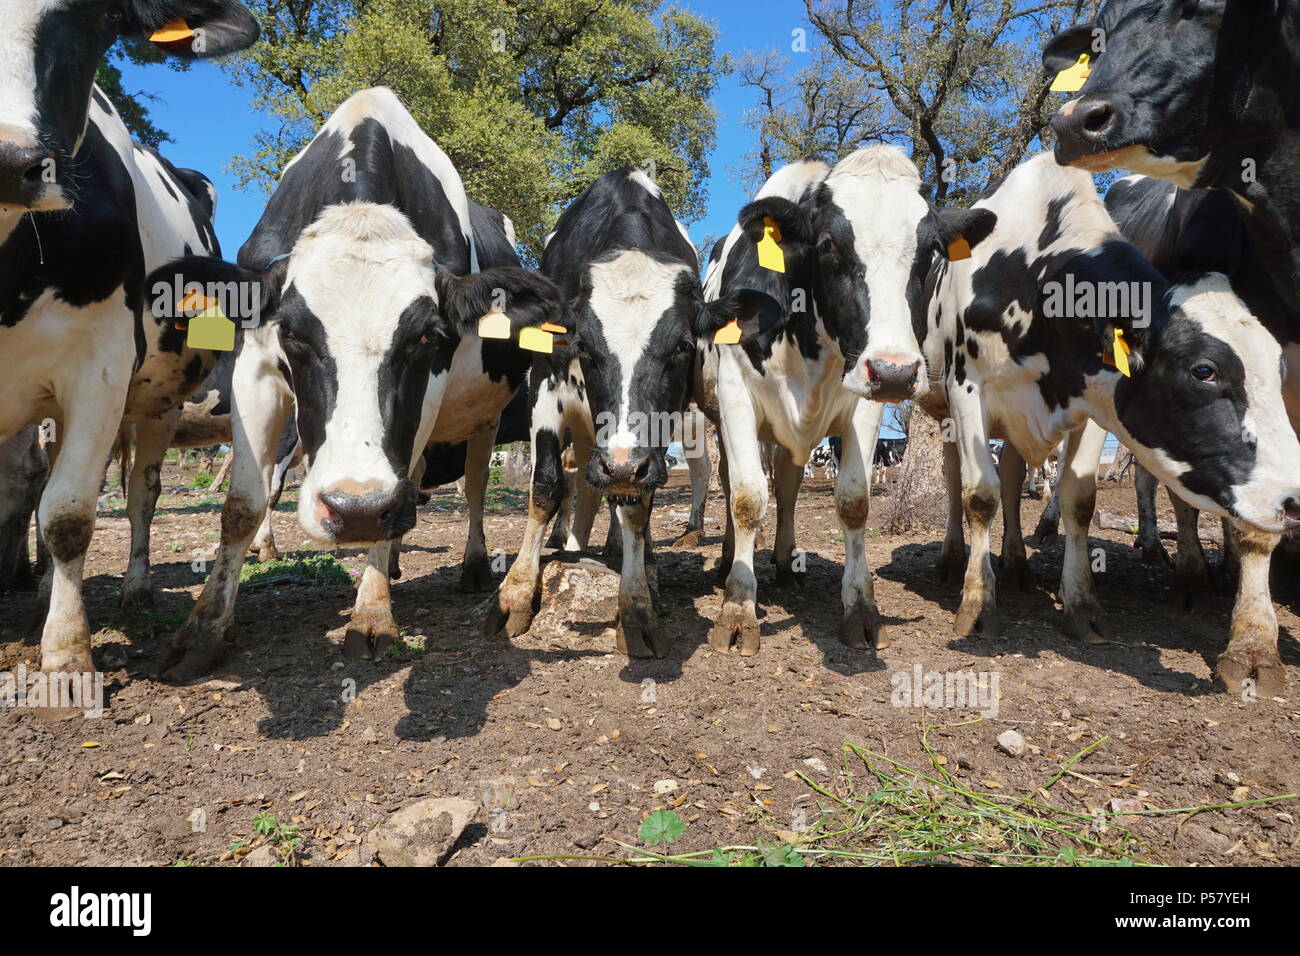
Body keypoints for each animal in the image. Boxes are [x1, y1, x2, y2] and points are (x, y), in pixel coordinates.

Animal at [0, 1, 261, 673]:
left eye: (88, 20)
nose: (10, 160)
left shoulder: (99, 367)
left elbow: (67, 513)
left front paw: (67, 659)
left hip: (155, 400)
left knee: (141, 491)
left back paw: (134, 588)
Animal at [146, 87, 567, 680]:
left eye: (428, 336)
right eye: (292, 331)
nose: (356, 508)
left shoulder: (432, 385)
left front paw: (370, 615)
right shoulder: (254, 363)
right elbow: (243, 505)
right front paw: (202, 630)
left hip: (483, 417)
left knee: (473, 485)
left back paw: (469, 564)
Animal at [485, 167, 754, 658]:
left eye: (682, 345)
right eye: (584, 345)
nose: (622, 466)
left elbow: (636, 507)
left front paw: (638, 605)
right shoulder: (546, 386)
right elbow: (545, 487)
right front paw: (515, 595)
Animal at [695, 148, 997, 655]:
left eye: (930, 251)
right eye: (828, 245)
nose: (896, 371)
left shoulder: (866, 401)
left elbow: (853, 501)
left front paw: (860, 608)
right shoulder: (737, 396)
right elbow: (747, 498)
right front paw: (737, 608)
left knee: (789, 486)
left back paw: (784, 561)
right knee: (734, 481)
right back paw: (727, 558)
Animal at [922, 151, 1300, 697]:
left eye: (1279, 365)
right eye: (1203, 370)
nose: (1292, 501)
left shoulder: (1093, 400)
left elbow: (1078, 500)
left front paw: (1081, 606)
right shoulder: (967, 389)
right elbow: (979, 496)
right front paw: (977, 607)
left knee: (1014, 480)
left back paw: (1016, 566)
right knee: (957, 482)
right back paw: (953, 561)